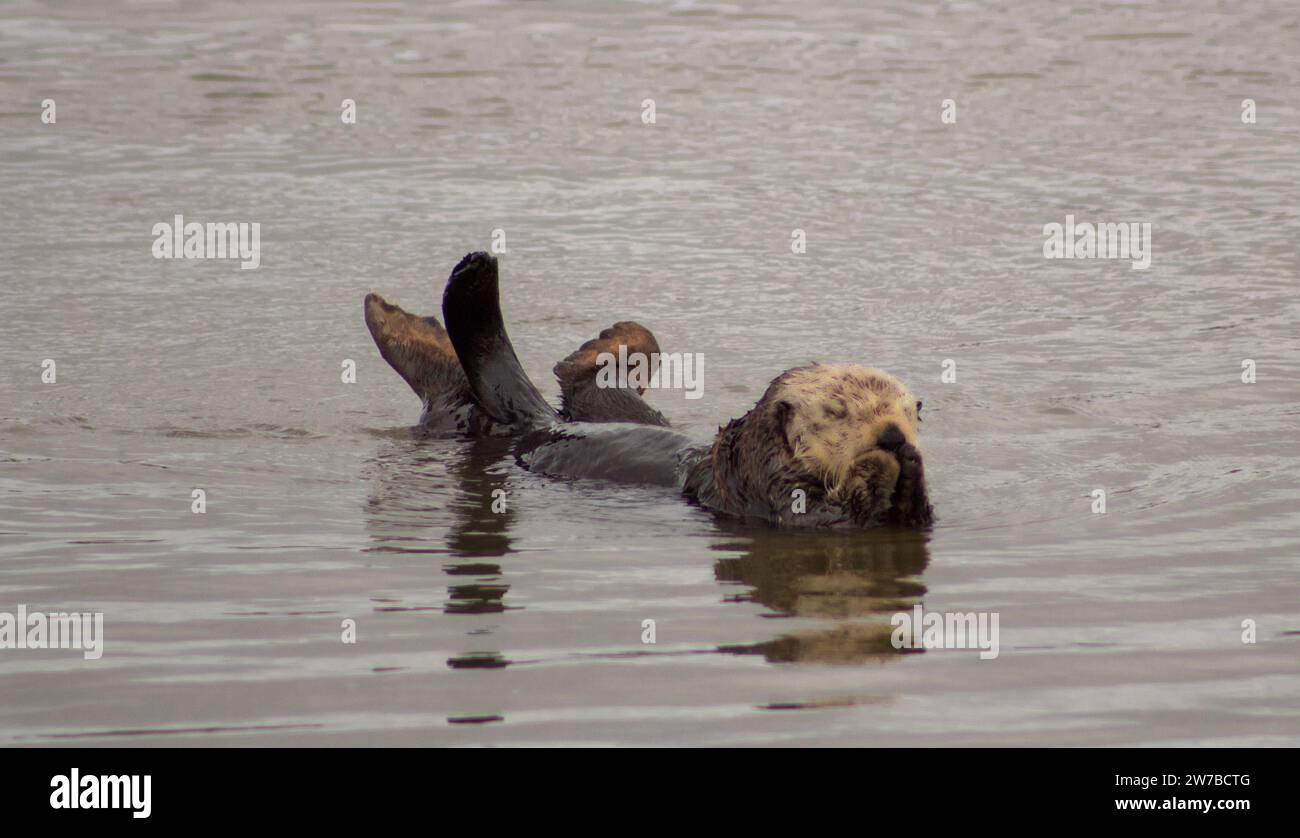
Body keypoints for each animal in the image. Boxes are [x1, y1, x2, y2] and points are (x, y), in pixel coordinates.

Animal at [364, 252, 933, 528]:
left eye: (912, 413)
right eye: (837, 411)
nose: (893, 434)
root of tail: (536, 421)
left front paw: (907, 461)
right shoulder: (770, 490)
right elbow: (818, 514)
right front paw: (881, 464)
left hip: (598, 408)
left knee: (575, 380)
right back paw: (469, 273)